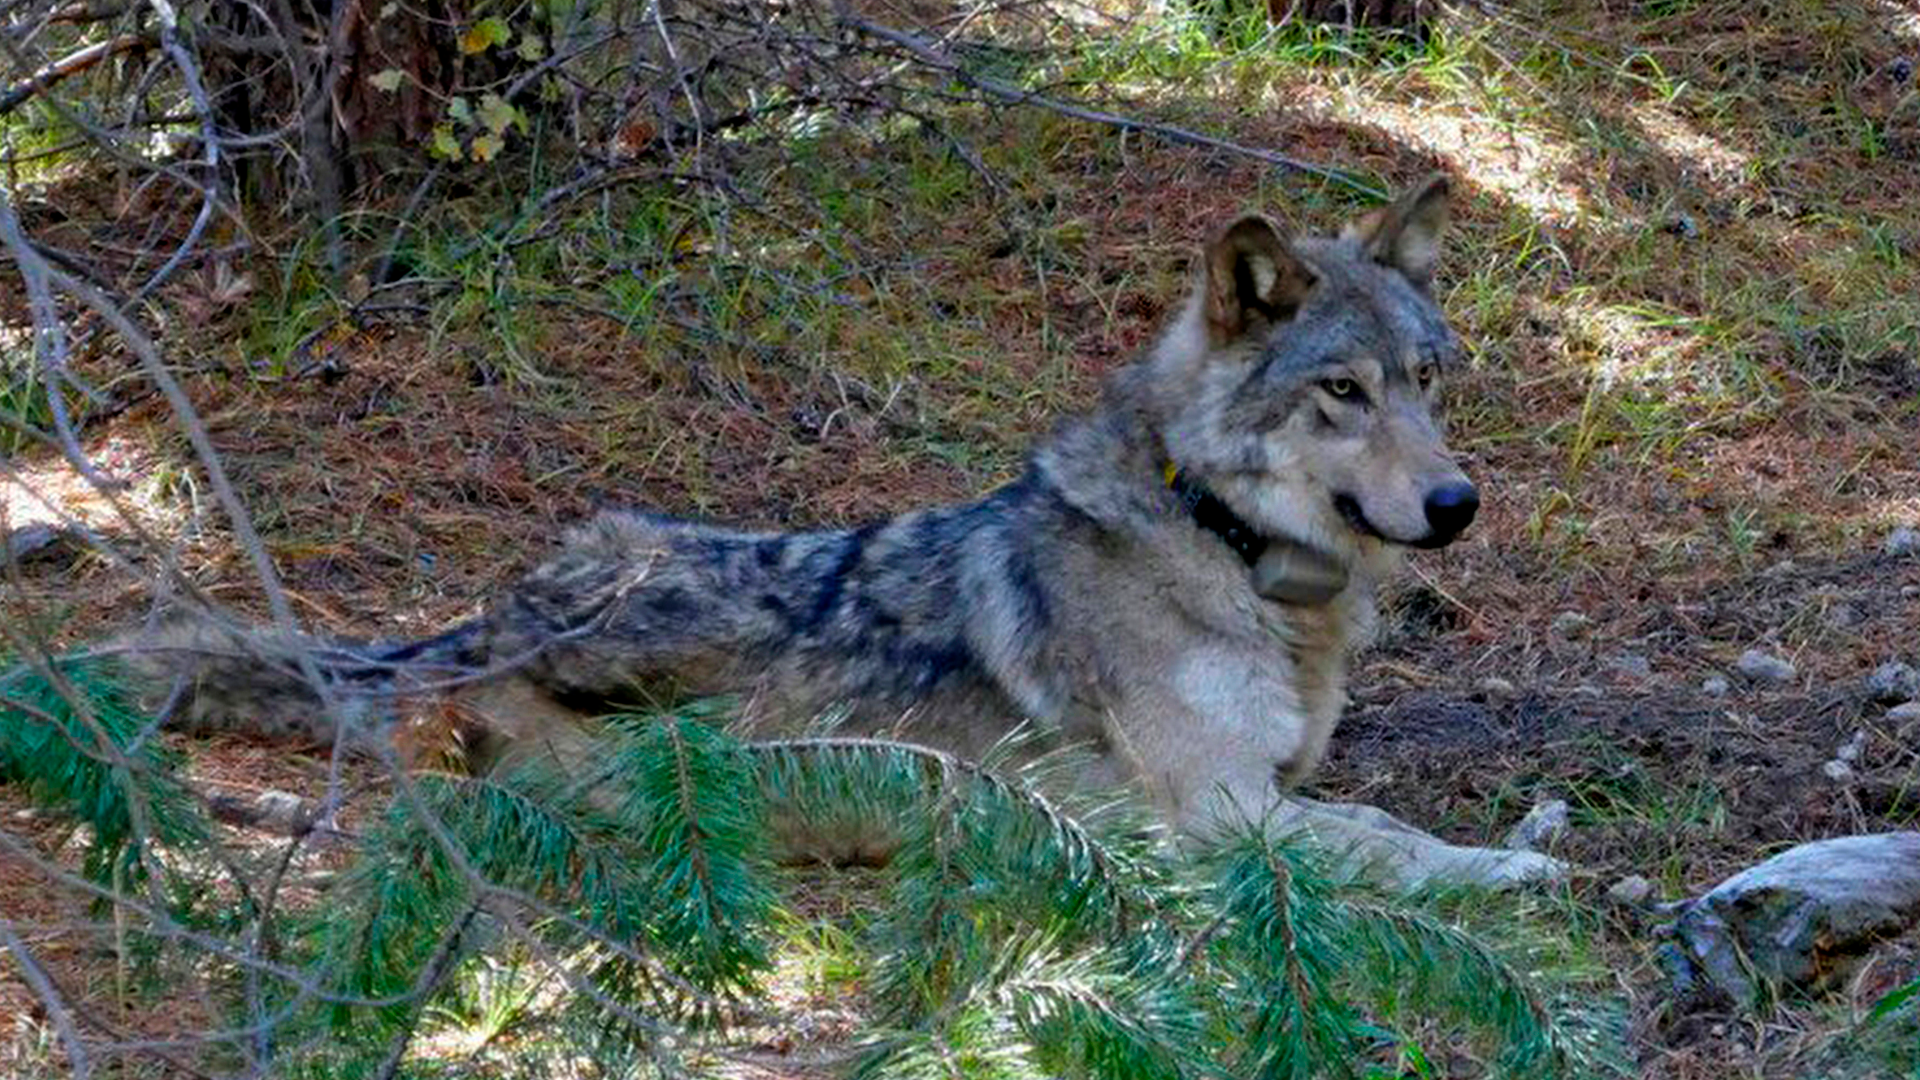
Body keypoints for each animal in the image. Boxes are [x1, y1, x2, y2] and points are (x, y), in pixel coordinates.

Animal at [137, 175, 1563, 889]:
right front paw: (1506, 870)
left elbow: (1371, 811)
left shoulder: (1271, 782)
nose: (1458, 504)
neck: (1222, 544)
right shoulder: (1217, 812)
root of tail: (474, 626)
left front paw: (1530, 830)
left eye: (1427, 380)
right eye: (1343, 392)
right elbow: (1388, 842)